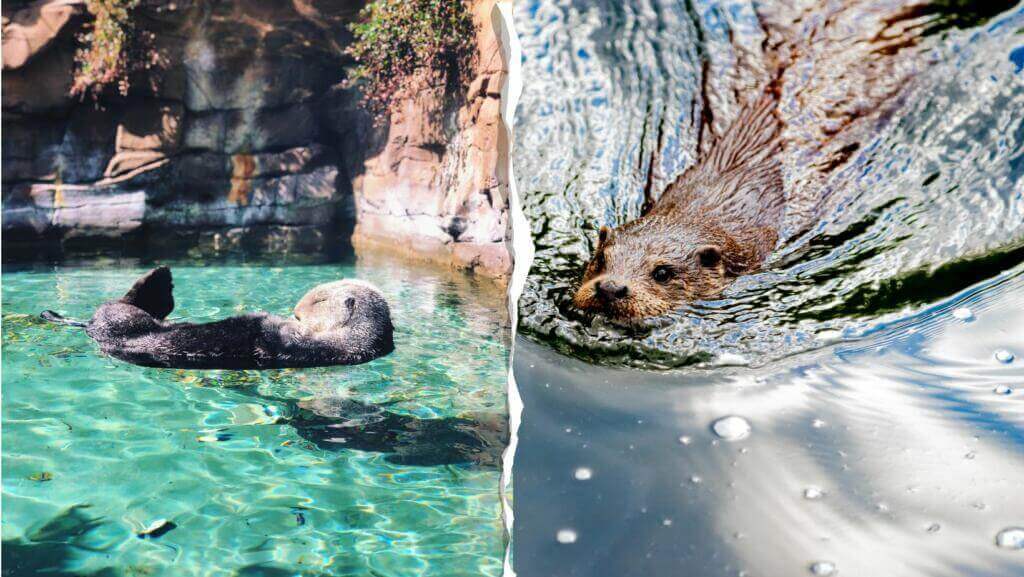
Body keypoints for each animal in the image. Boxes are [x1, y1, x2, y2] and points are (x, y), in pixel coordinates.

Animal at [42, 266, 394, 369]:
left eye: (319, 300)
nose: (295, 310)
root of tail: (89, 327)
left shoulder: (310, 348)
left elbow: (269, 334)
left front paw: (263, 317)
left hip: (121, 320)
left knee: (120, 304)